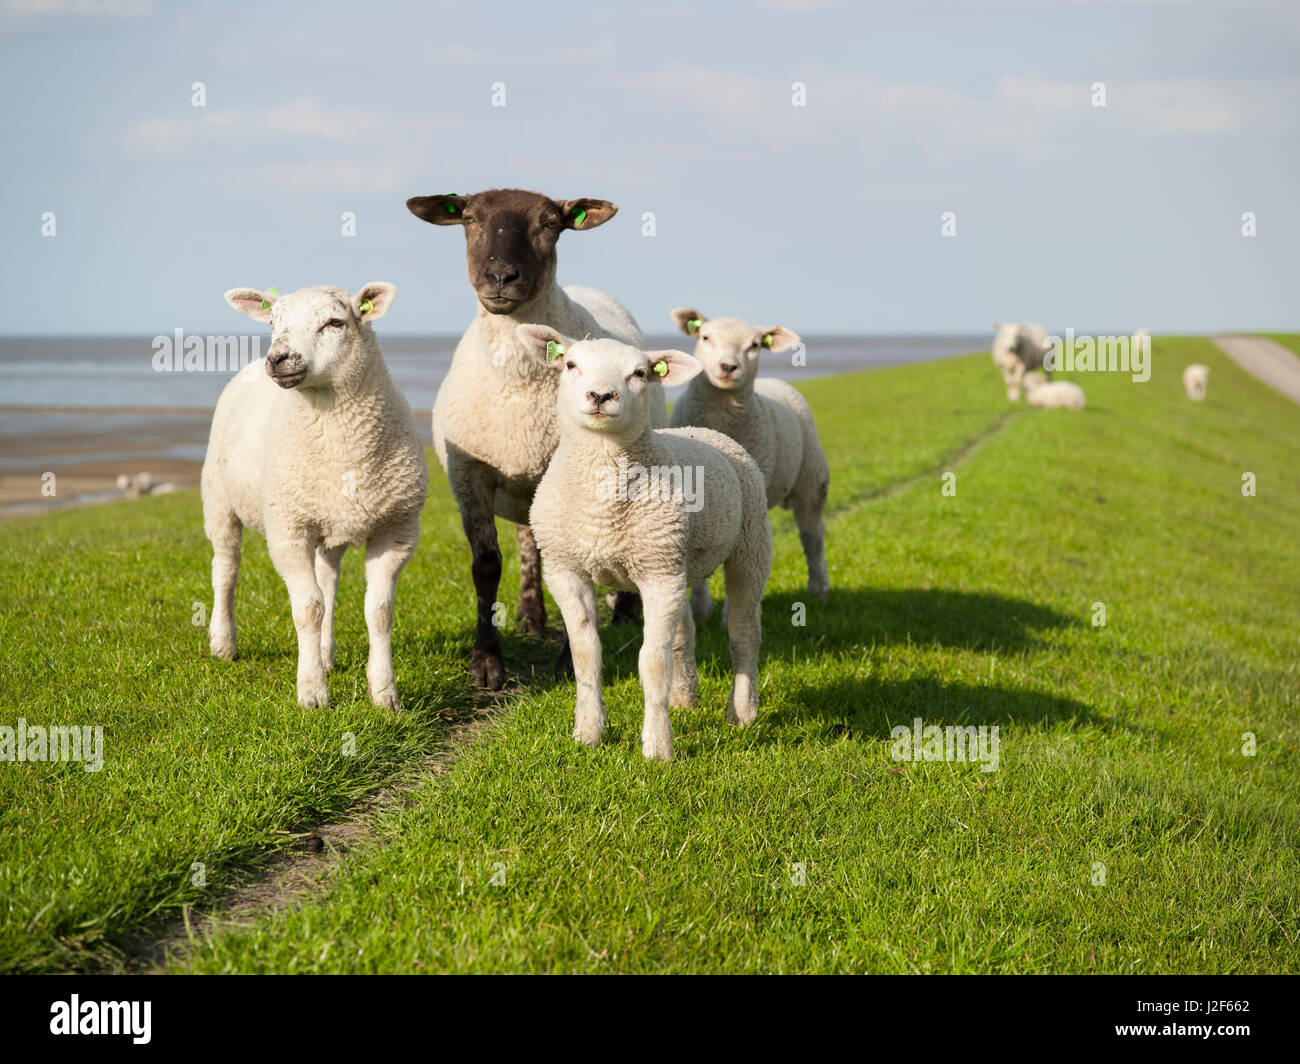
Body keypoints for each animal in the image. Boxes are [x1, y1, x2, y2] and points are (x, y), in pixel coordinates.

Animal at [203, 283, 428, 710]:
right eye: (273, 323)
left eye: (334, 322)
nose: (278, 359)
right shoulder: (288, 531)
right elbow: (308, 608)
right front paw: (311, 693)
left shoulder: (396, 530)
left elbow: (379, 611)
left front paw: (384, 693)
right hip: (219, 500)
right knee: (226, 569)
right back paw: (223, 643)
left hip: (329, 520)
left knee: (329, 580)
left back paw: (325, 654)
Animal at [406, 188, 667, 690]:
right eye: (469, 218)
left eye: (550, 224)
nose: (501, 276)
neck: (516, 382)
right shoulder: (469, 475)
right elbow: (486, 565)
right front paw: (487, 663)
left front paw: (568, 661)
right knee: (530, 543)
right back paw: (531, 616)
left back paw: (625, 613)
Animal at [513, 324, 772, 761]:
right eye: (570, 364)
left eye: (639, 373)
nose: (601, 396)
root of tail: (703, 432)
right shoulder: (566, 570)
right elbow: (586, 655)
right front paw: (588, 733)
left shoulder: (657, 576)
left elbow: (652, 662)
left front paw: (656, 747)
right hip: (677, 559)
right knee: (685, 633)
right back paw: (684, 699)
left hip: (748, 546)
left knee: (744, 632)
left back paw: (742, 712)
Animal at [667, 308, 829, 618]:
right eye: (705, 337)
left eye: (754, 345)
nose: (729, 367)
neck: (722, 420)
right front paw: (700, 609)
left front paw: (728, 613)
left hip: (810, 477)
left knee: (811, 535)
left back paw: (818, 588)